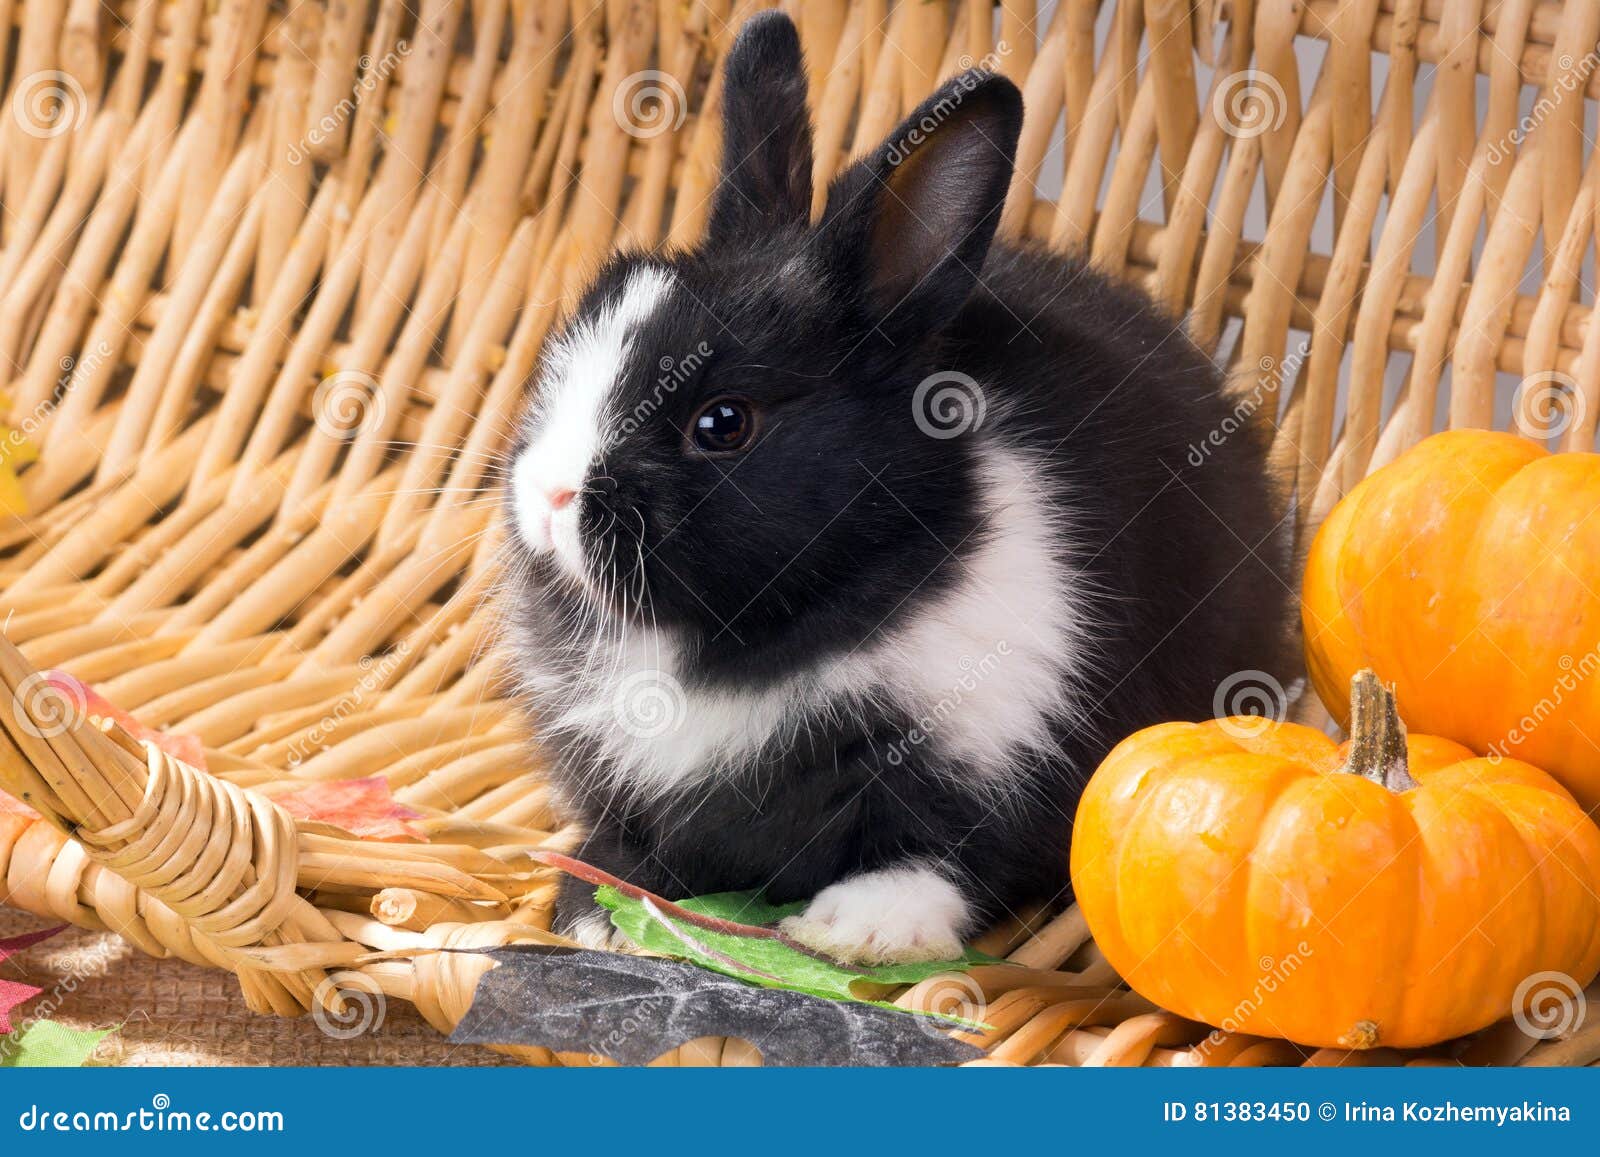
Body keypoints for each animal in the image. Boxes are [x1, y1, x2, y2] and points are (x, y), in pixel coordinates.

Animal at [502, 10, 1294, 965]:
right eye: (567, 345)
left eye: (723, 422)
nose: (547, 497)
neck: (736, 642)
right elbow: (634, 838)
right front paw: (594, 908)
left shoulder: (998, 748)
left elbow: (947, 853)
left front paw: (860, 929)